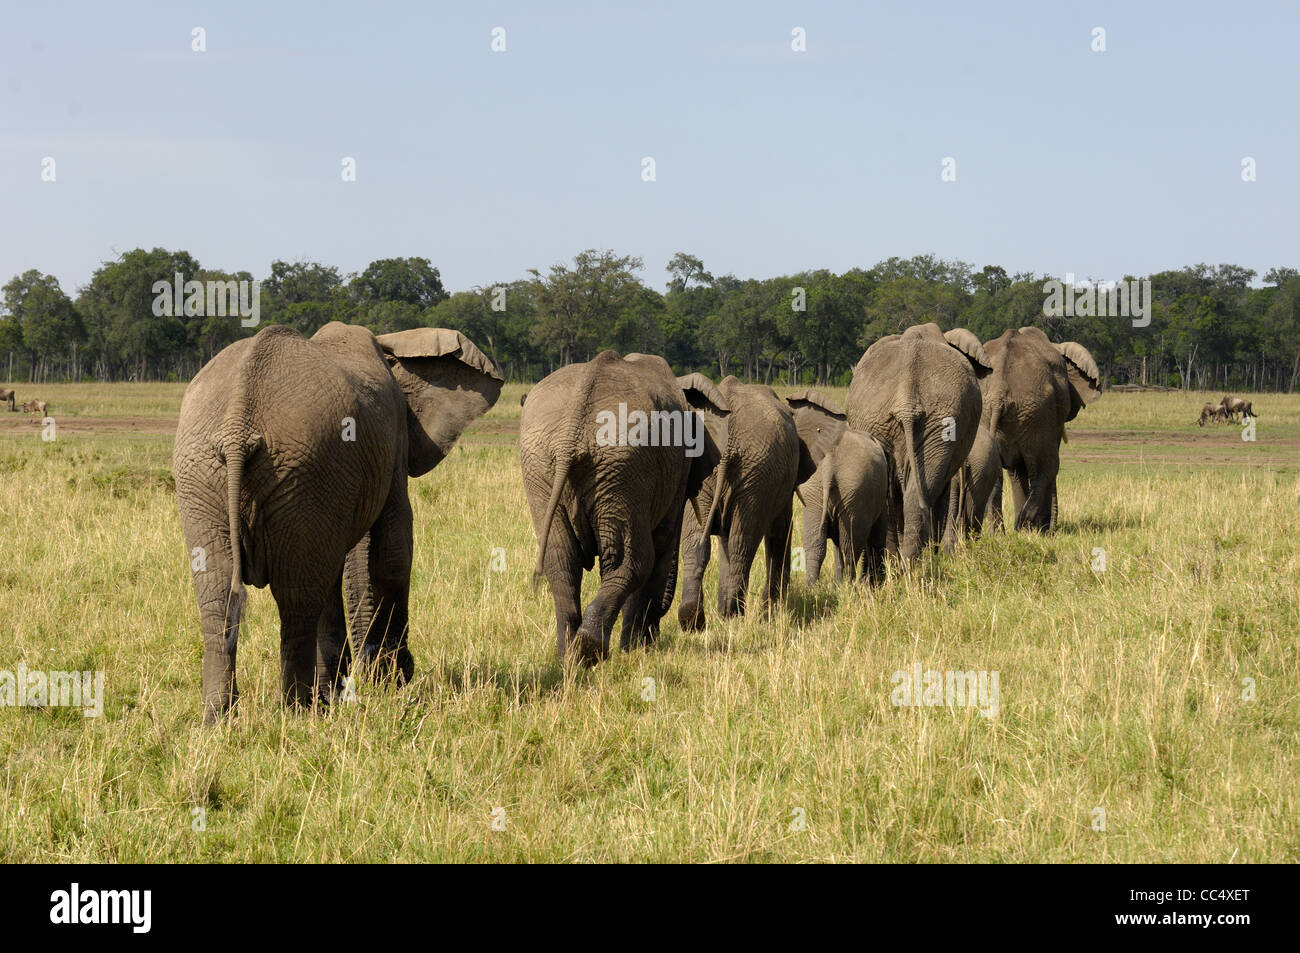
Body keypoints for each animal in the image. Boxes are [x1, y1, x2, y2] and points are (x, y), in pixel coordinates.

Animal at [173, 322, 503, 723]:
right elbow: (395, 549)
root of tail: (239, 424)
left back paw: (220, 717)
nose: (368, 672)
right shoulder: (388, 444)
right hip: (291, 470)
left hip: (210, 477)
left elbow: (338, 568)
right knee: (296, 600)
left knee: (220, 594)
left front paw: (347, 687)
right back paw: (298, 712)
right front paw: (393, 680)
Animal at [520, 351, 719, 663]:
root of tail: (570, 435)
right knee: (636, 559)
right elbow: (661, 550)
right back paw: (590, 649)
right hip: (621, 467)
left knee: (561, 560)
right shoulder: (673, 476)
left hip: (548, 466)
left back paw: (570, 657)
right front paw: (638, 648)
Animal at [676, 374, 815, 630]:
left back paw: (697, 618)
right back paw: (732, 615)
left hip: (730, 471)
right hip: (758, 473)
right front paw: (771, 612)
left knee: (701, 541)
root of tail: (729, 439)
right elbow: (781, 530)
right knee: (743, 543)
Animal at [845, 324, 992, 564]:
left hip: (893, 424)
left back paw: (903, 565)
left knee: (896, 497)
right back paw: (913, 564)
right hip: (938, 424)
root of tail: (907, 396)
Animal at [980, 327, 1100, 533]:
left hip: (997, 412)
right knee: (1047, 467)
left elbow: (1016, 471)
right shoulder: (1049, 418)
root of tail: (998, 390)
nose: (1053, 529)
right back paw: (1025, 527)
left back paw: (1002, 532)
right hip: (1036, 412)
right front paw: (1042, 530)